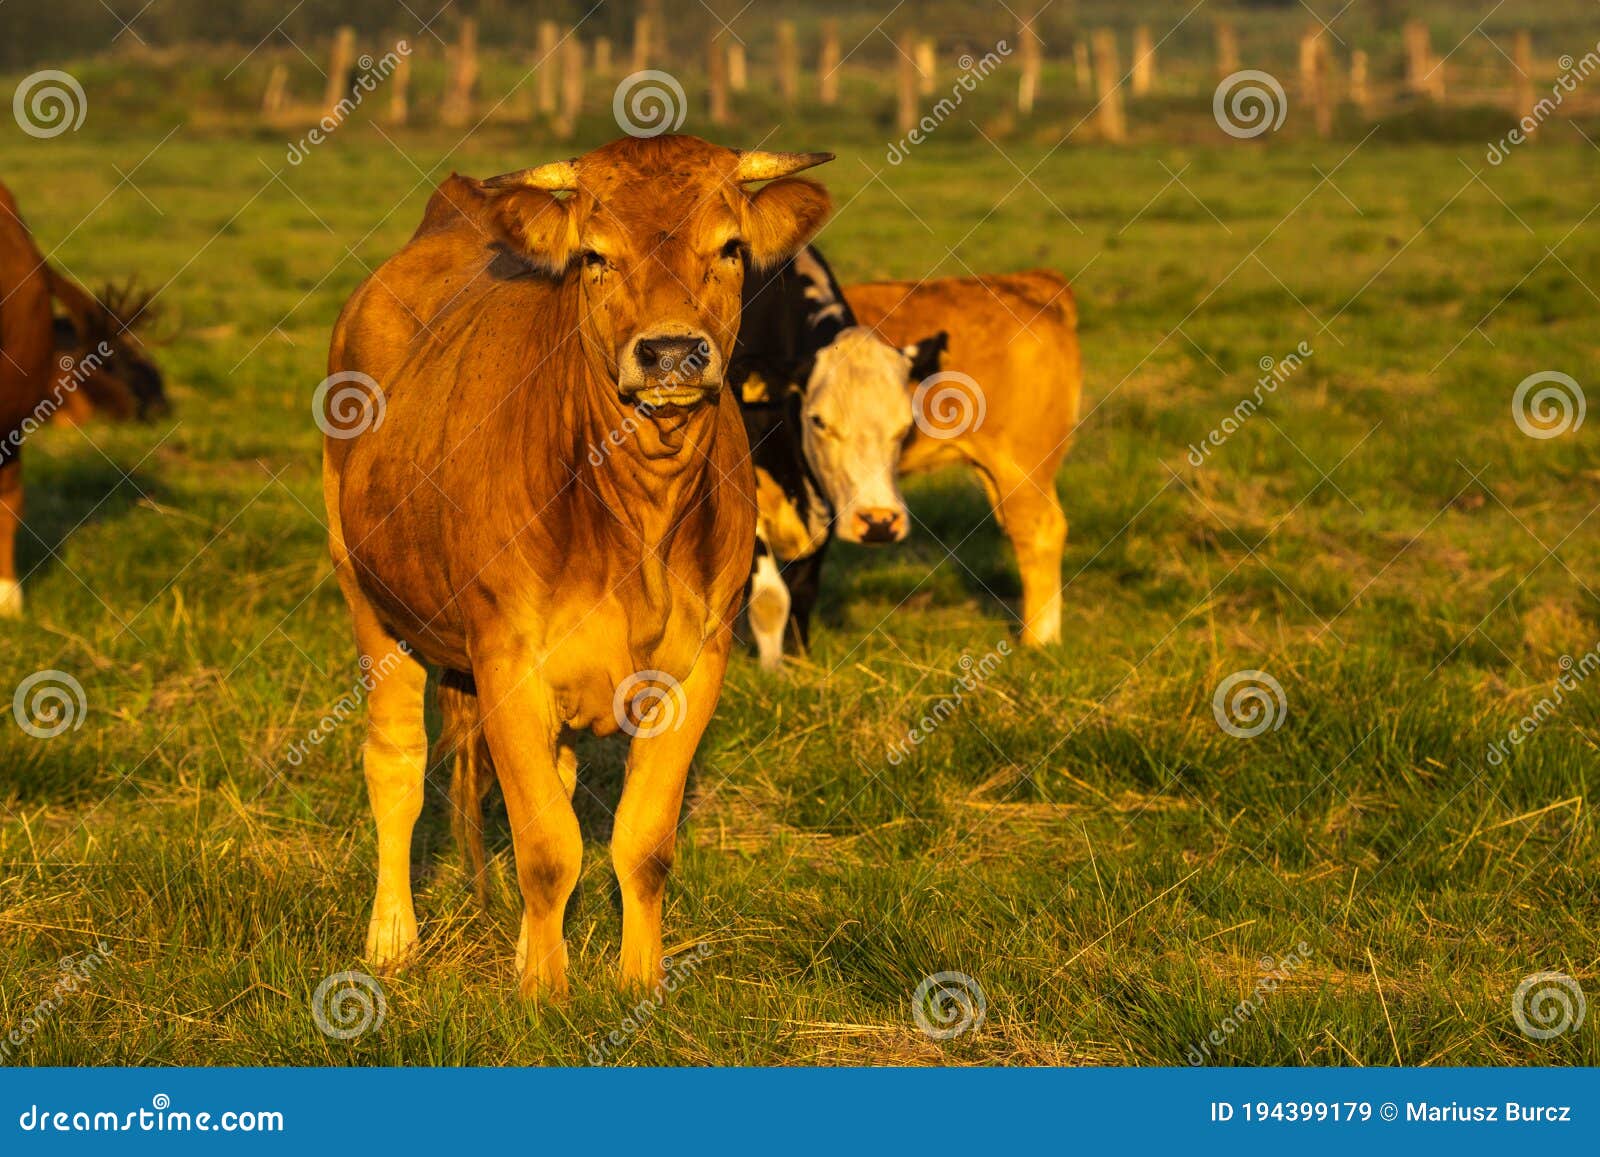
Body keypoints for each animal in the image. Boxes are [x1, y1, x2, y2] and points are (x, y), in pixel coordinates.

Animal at [324, 135, 832, 997]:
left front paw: (635, 983)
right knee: (396, 766)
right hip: (369, 601)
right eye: (595, 255)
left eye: (730, 247)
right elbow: (546, 847)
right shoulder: (506, 659)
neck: (640, 514)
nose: (670, 352)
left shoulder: (697, 665)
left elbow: (641, 841)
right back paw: (392, 938)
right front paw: (545, 995)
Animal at [732, 248, 1080, 663]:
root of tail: (1030, 282)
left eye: (905, 422)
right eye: (818, 421)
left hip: (1022, 468)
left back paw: (1039, 642)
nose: (880, 522)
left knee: (1040, 531)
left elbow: (782, 592)